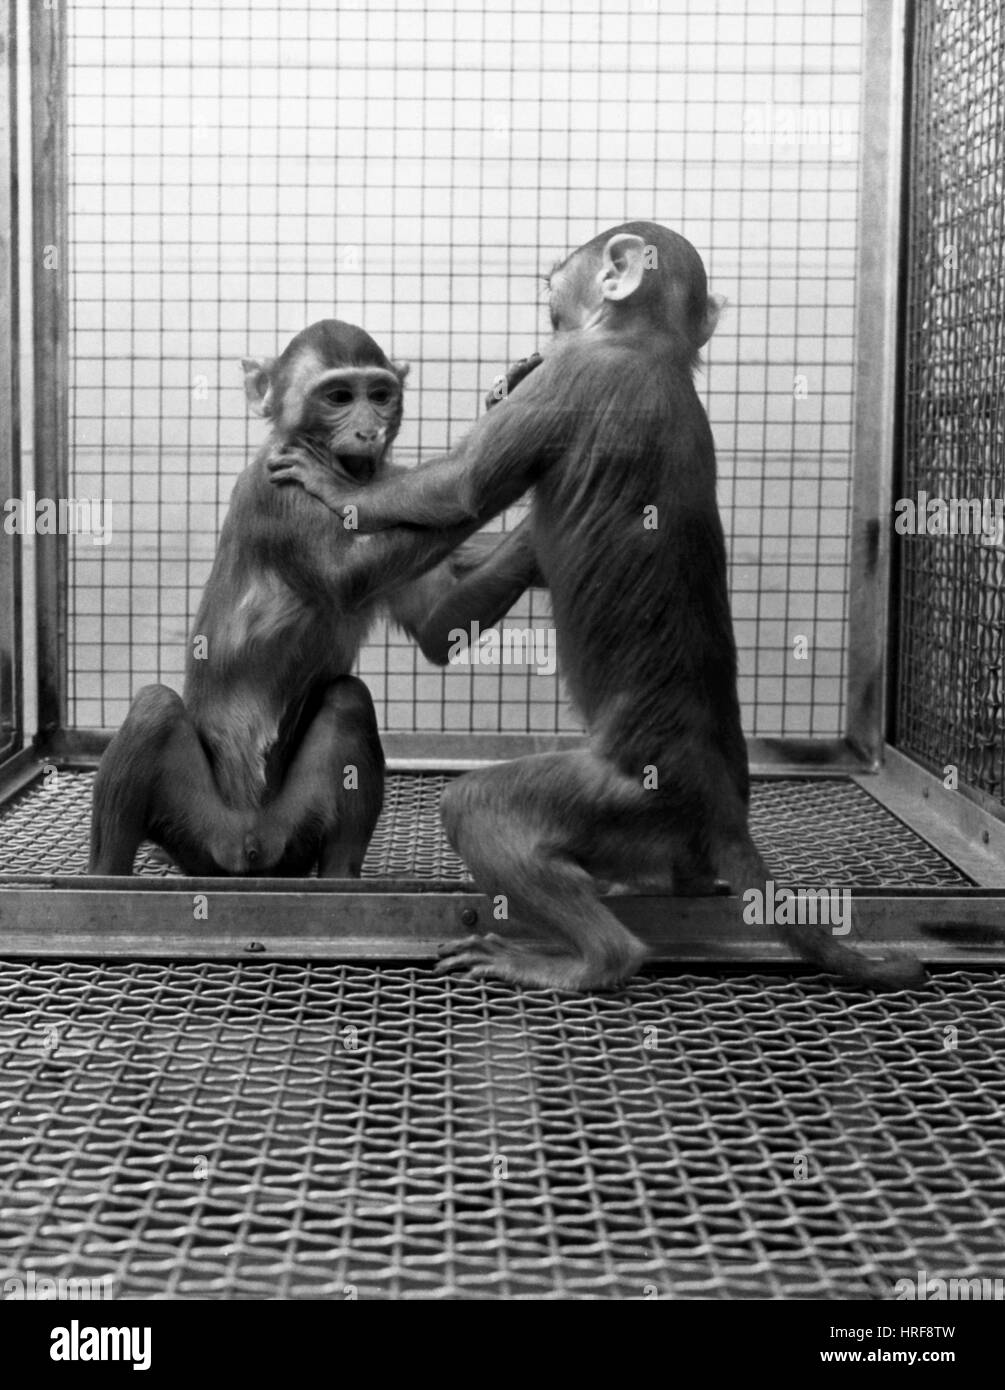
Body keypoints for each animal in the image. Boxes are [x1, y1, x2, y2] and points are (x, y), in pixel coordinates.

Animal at [89, 319, 542, 878]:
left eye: (379, 396)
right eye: (338, 397)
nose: (368, 431)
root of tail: (248, 850)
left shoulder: (381, 479)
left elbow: (441, 630)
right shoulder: (275, 491)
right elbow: (348, 577)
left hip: (293, 833)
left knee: (347, 699)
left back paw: (342, 872)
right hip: (197, 829)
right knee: (154, 707)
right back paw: (104, 874)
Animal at [268, 227, 926, 992]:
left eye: (558, 282)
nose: (547, 303)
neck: (651, 347)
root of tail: (721, 806)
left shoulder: (575, 376)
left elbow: (459, 490)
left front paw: (334, 485)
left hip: (621, 799)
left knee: (481, 808)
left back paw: (589, 959)